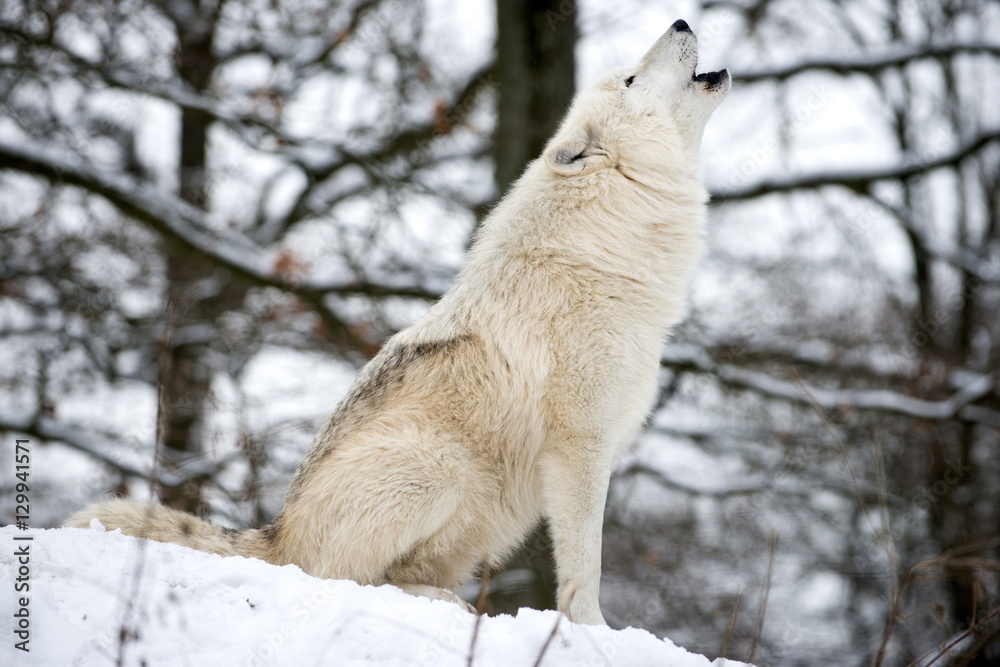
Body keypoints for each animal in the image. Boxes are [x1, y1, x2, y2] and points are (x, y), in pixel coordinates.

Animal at [66, 20, 729, 625]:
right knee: (341, 579)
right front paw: (591, 632)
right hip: (436, 469)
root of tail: (274, 534)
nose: (680, 21)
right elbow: (585, 565)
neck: (608, 246)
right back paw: (441, 604)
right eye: (631, 78)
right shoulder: (581, 446)